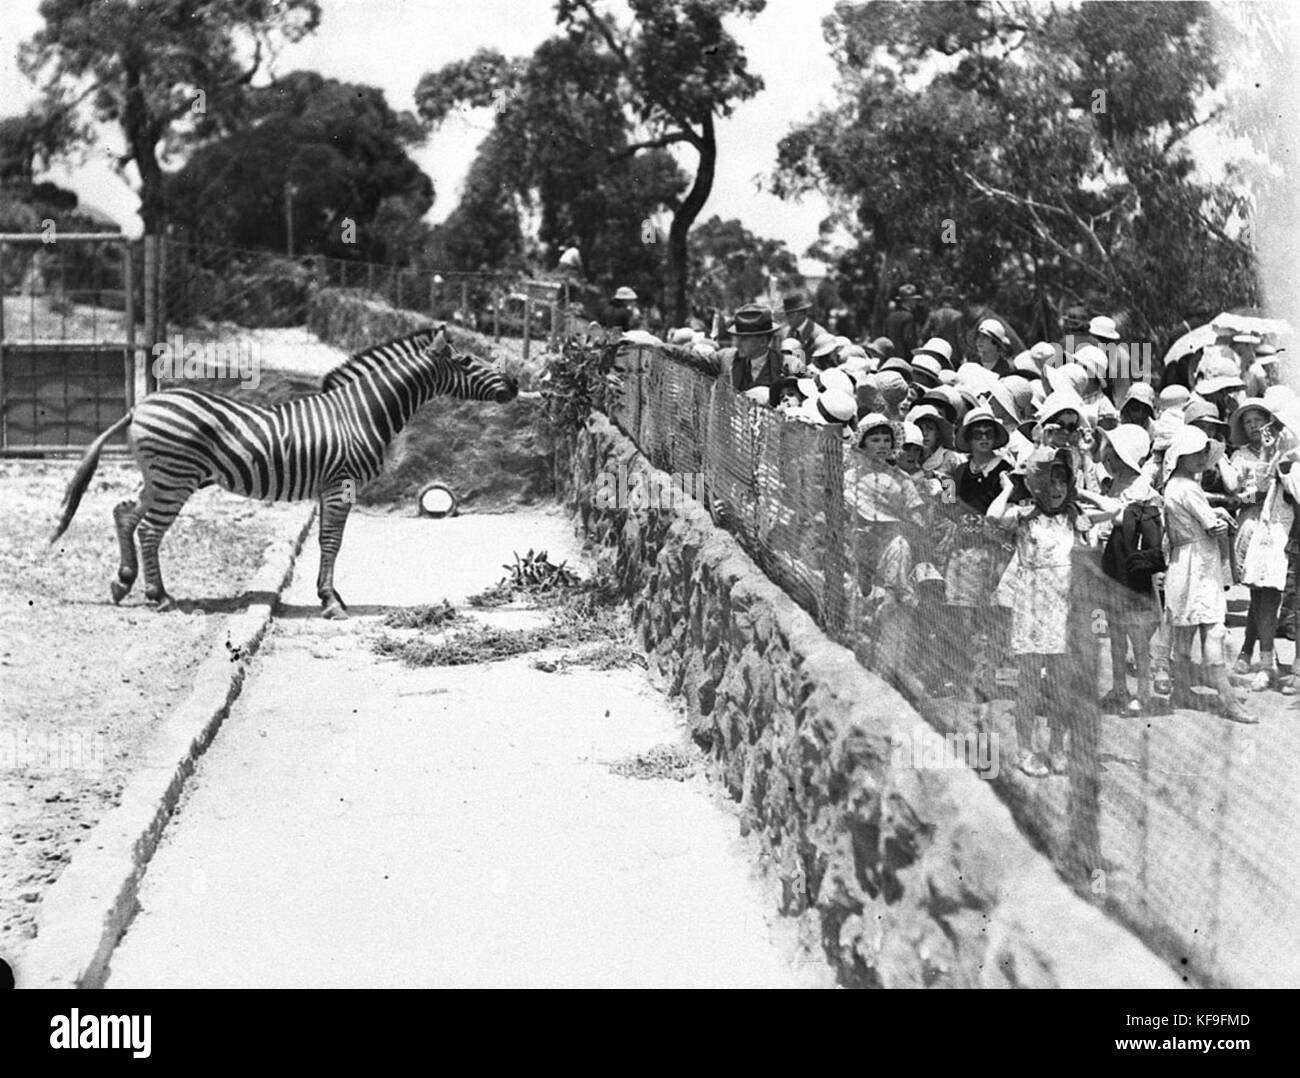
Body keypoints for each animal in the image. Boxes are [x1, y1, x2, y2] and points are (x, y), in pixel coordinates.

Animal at [49, 326, 517, 618]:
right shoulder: (340, 485)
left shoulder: (328, 487)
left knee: (124, 512)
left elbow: (330, 542)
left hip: (160, 477)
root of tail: (138, 406)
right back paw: (159, 596)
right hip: (175, 478)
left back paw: (122, 583)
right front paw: (330, 602)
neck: (361, 412)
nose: (514, 385)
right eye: (467, 361)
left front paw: (333, 595)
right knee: (148, 529)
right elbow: (332, 542)